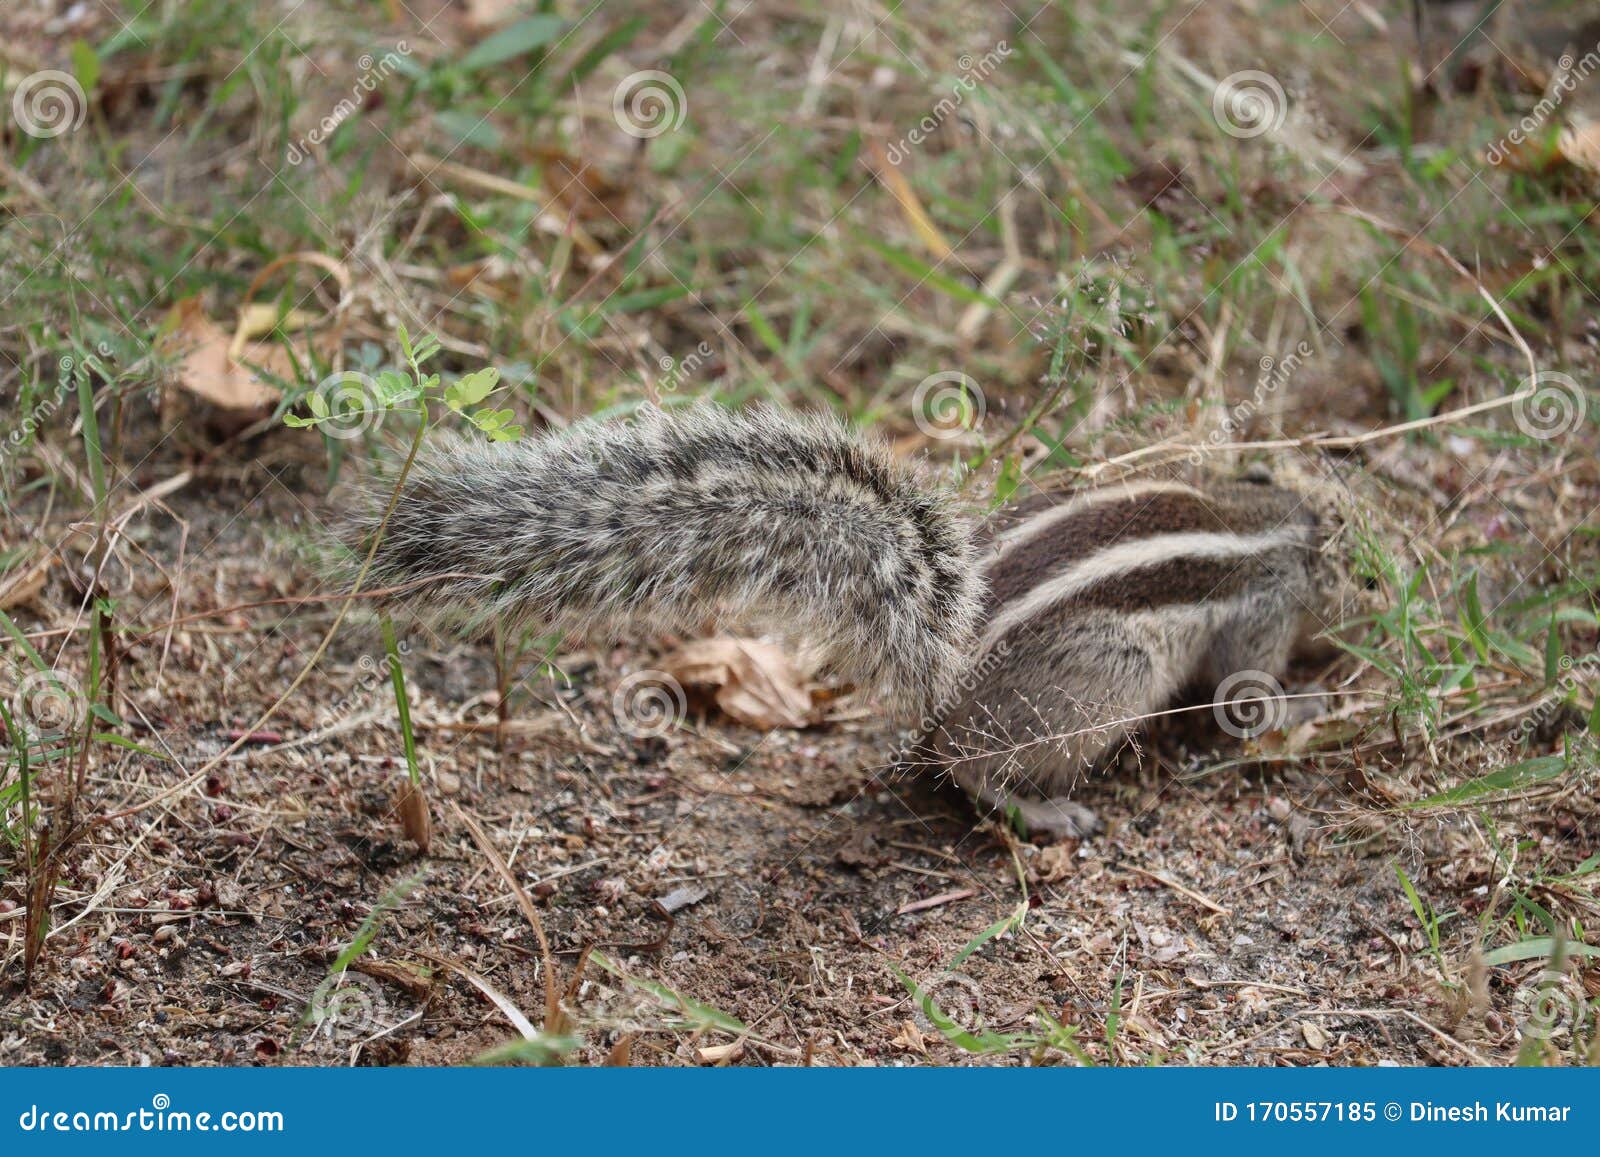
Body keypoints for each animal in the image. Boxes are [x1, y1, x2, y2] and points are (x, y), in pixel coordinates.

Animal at [348, 403, 1331, 839]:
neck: (1271, 523)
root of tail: (943, 671)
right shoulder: (1257, 620)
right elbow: (1245, 699)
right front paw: (1308, 705)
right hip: (1107, 676)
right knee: (972, 766)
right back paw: (1046, 810)